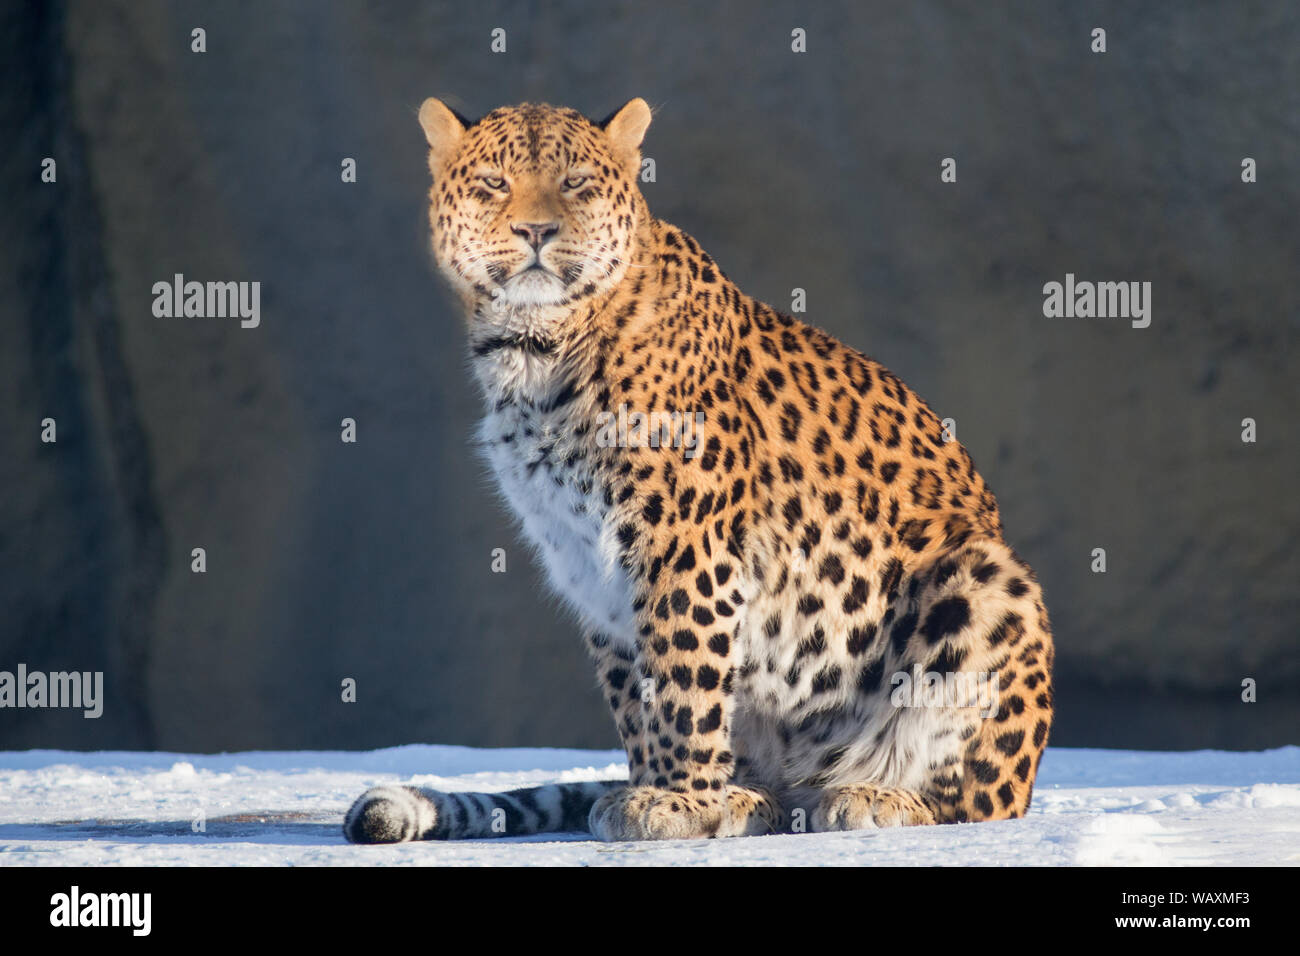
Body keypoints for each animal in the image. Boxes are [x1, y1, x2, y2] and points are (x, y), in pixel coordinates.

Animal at [343, 98, 1054, 843]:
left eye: (575, 184)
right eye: (492, 184)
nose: (536, 231)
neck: (532, 353)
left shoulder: (683, 543)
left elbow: (683, 673)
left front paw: (675, 801)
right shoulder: (588, 565)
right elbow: (639, 696)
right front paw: (663, 792)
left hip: (984, 582)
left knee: (979, 798)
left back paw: (874, 795)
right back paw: (748, 798)